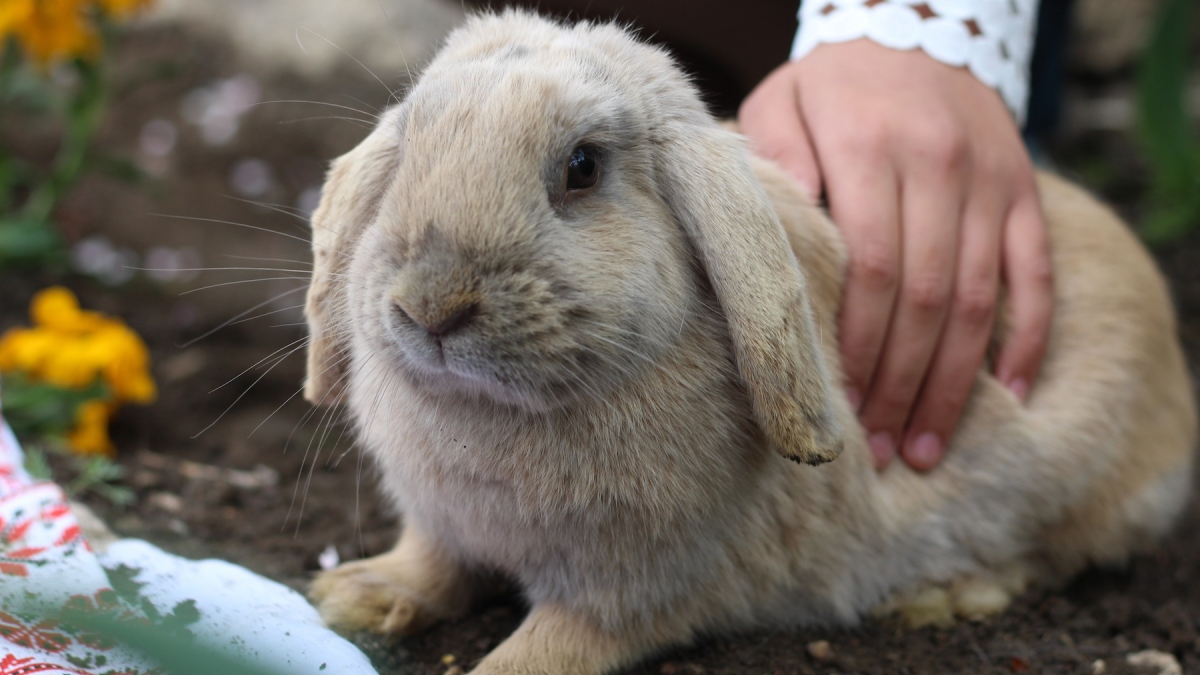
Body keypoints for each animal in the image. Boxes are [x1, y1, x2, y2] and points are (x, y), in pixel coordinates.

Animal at [304, 10, 1197, 674]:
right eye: (409, 151)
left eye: (582, 168)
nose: (432, 307)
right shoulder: (442, 524)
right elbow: (433, 564)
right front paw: (353, 595)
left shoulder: (636, 582)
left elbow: (560, 639)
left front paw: (498, 662)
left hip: (1079, 485)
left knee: (1048, 554)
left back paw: (943, 597)